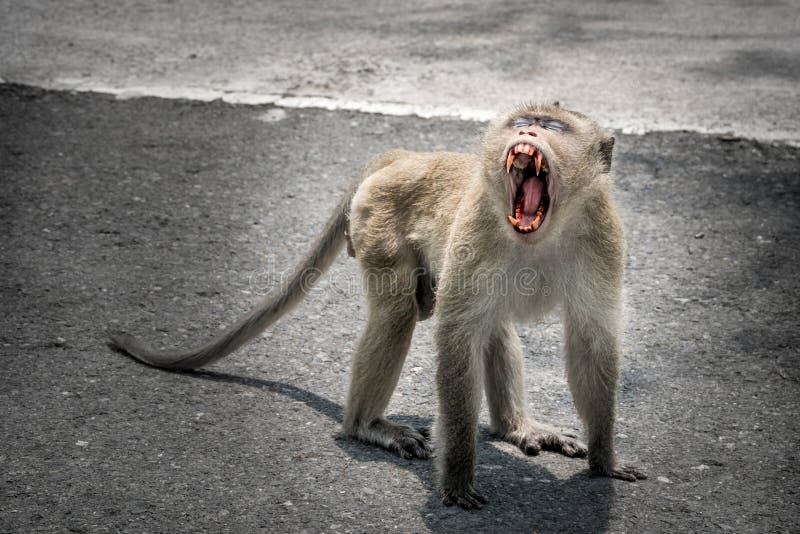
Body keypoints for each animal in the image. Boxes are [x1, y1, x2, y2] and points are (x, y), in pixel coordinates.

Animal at [109, 102, 645, 510]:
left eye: (553, 127)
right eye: (522, 121)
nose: (528, 131)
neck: (541, 231)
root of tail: (406, 156)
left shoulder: (604, 240)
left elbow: (591, 342)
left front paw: (605, 460)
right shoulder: (475, 233)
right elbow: (456, 343)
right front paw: (456, 480)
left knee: (491, 327)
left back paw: (515, 427)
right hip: (378, 222)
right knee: (398, 315)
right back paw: (367, 426)